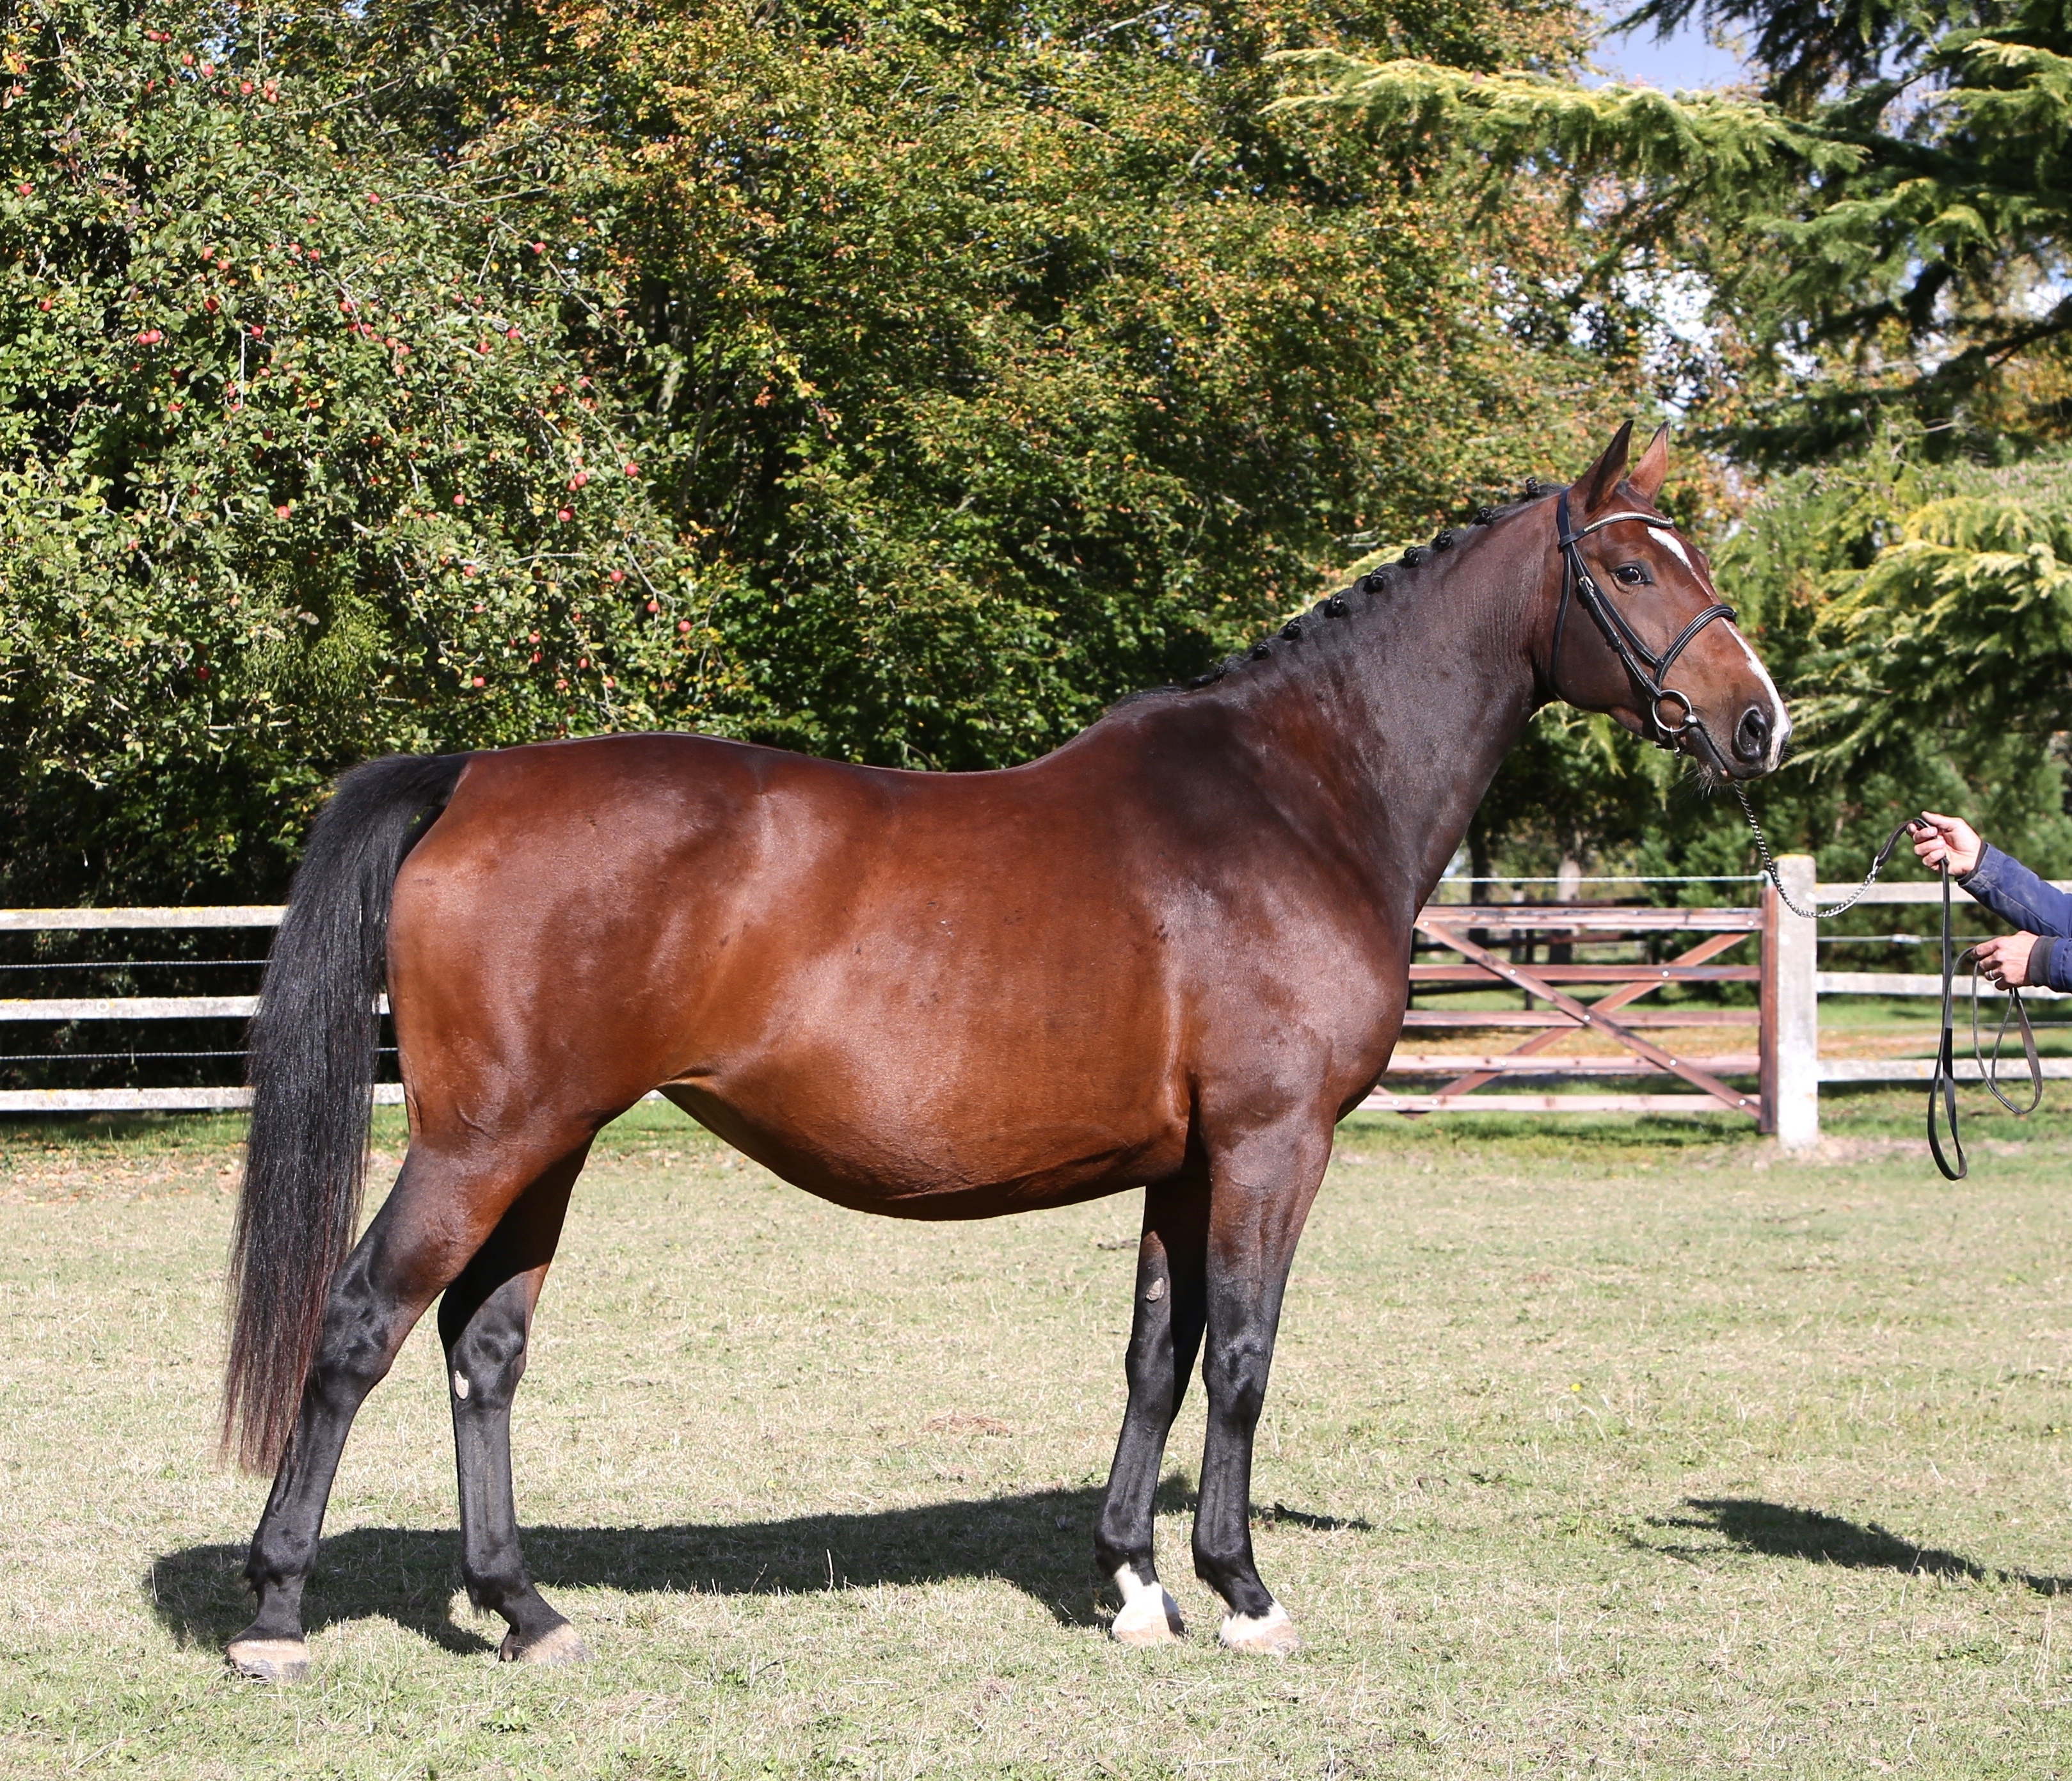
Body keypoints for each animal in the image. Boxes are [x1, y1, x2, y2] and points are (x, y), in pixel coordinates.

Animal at [220, 420, 1787, 1681]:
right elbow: (1243, 1355)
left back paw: (524, 1608)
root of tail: (474, 775)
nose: (1759, 721)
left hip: (546, 1143)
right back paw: (275, 1613)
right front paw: (1242, 1589)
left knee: (483, 1351)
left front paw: (1136, 1582)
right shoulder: (1272, 1141)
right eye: (1629, 571)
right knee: (356, 1329)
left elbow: (1157, 1355)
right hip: (480, 1141)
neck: (1295, 797)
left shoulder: (1182, 1162)